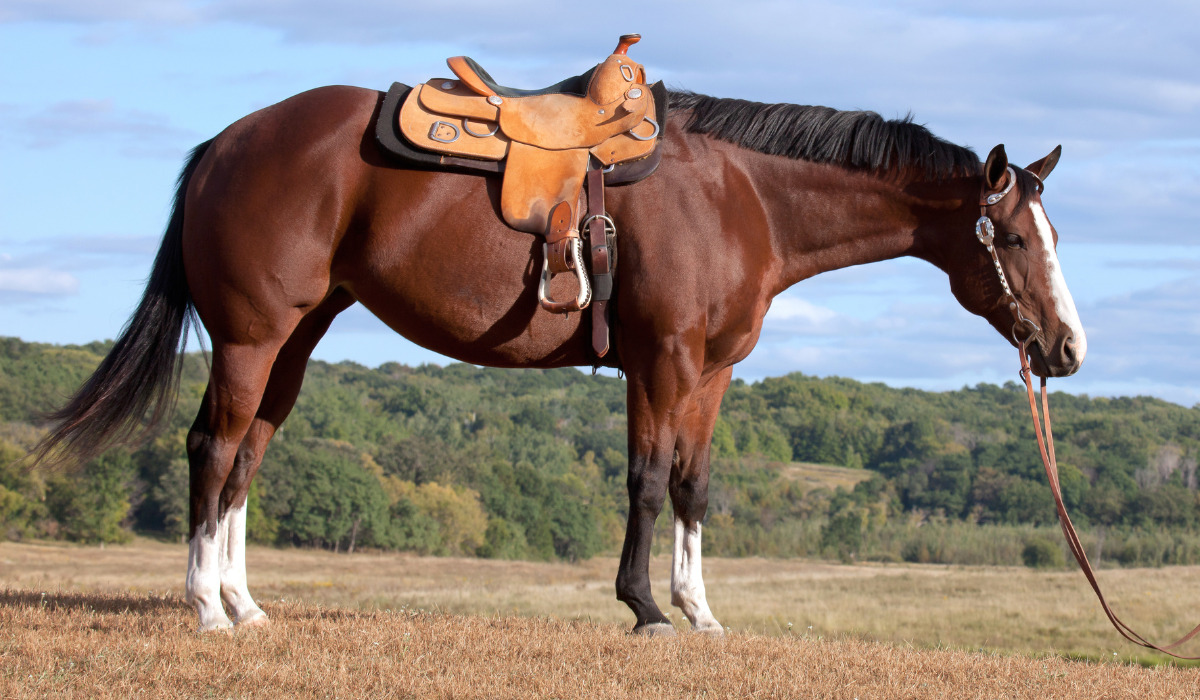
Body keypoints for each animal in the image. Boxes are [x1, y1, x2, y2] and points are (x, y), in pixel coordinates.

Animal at [34, 85, 1085, 635]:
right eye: (1014, 240)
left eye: (1052, 233)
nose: (1066, 348)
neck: (740, 196)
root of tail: (228, 140)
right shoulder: (661, 363)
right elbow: (647, 482)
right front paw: (646, 609)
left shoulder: (711, 373)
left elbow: (693, 487)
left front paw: (699, 612)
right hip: (252, 337)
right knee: (211, 451)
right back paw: (205, 608)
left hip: (296, 339)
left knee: (248, 456)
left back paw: (244, 603)